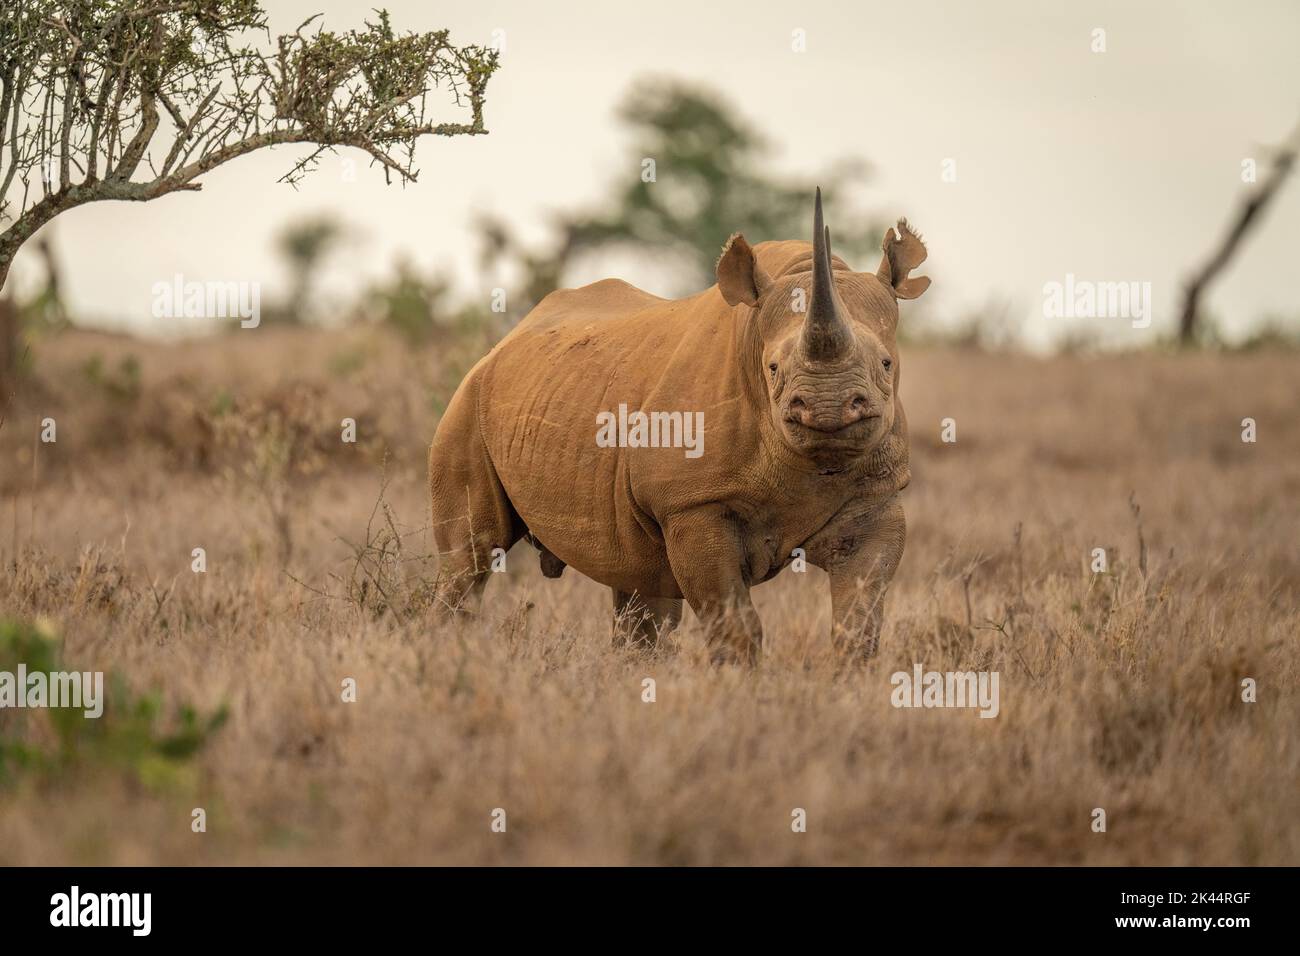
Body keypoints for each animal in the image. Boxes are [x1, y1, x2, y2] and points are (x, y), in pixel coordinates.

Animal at [428, 190, 930, 662]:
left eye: (886, 364)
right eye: (773, 369)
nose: (827, 407)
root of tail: (505, 341)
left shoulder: (877, 496)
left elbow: (859, 622)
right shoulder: (691, 504)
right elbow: (735, 623)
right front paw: (738, 685)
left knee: (640, 582)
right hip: (468, 399)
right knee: (471, 556)